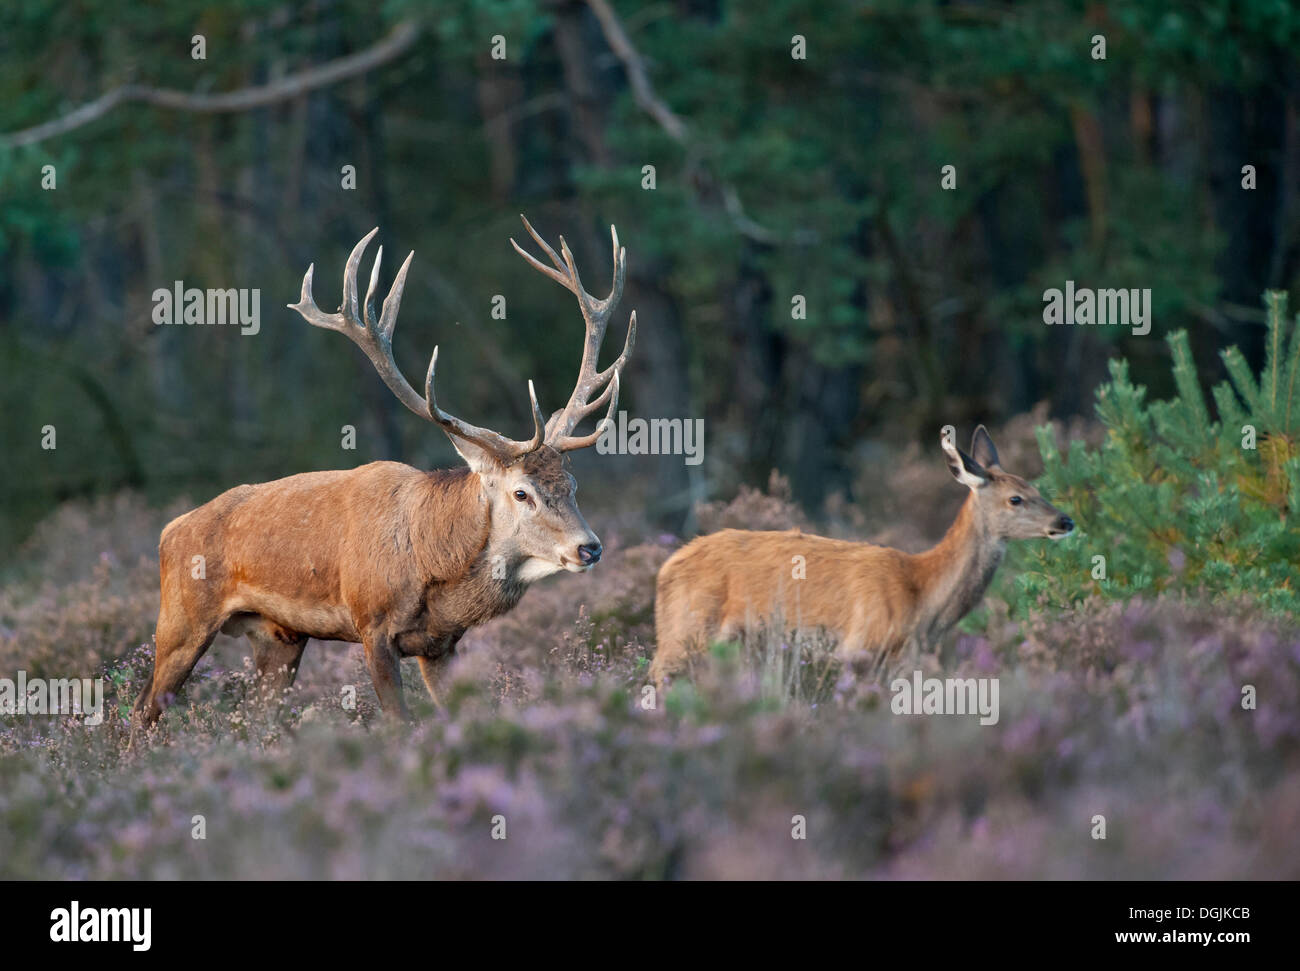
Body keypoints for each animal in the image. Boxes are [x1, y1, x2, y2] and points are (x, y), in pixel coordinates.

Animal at [132, 216, 636, 730]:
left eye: (572, 485)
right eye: (521, 493)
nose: (590, 547)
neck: (432, 563)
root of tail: (169, 531)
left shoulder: (440, 644)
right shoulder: (370, 623)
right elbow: (398, 722)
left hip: (279, 635)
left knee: (255, 718)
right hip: (181, 617)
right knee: (143, 705)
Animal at [649, 426, 1074, 681]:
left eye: (1037, 486)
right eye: (1015, 498)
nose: (1066, 520)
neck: (922, 600)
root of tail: (665, 570)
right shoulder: (859, 644)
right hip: (686, 629)